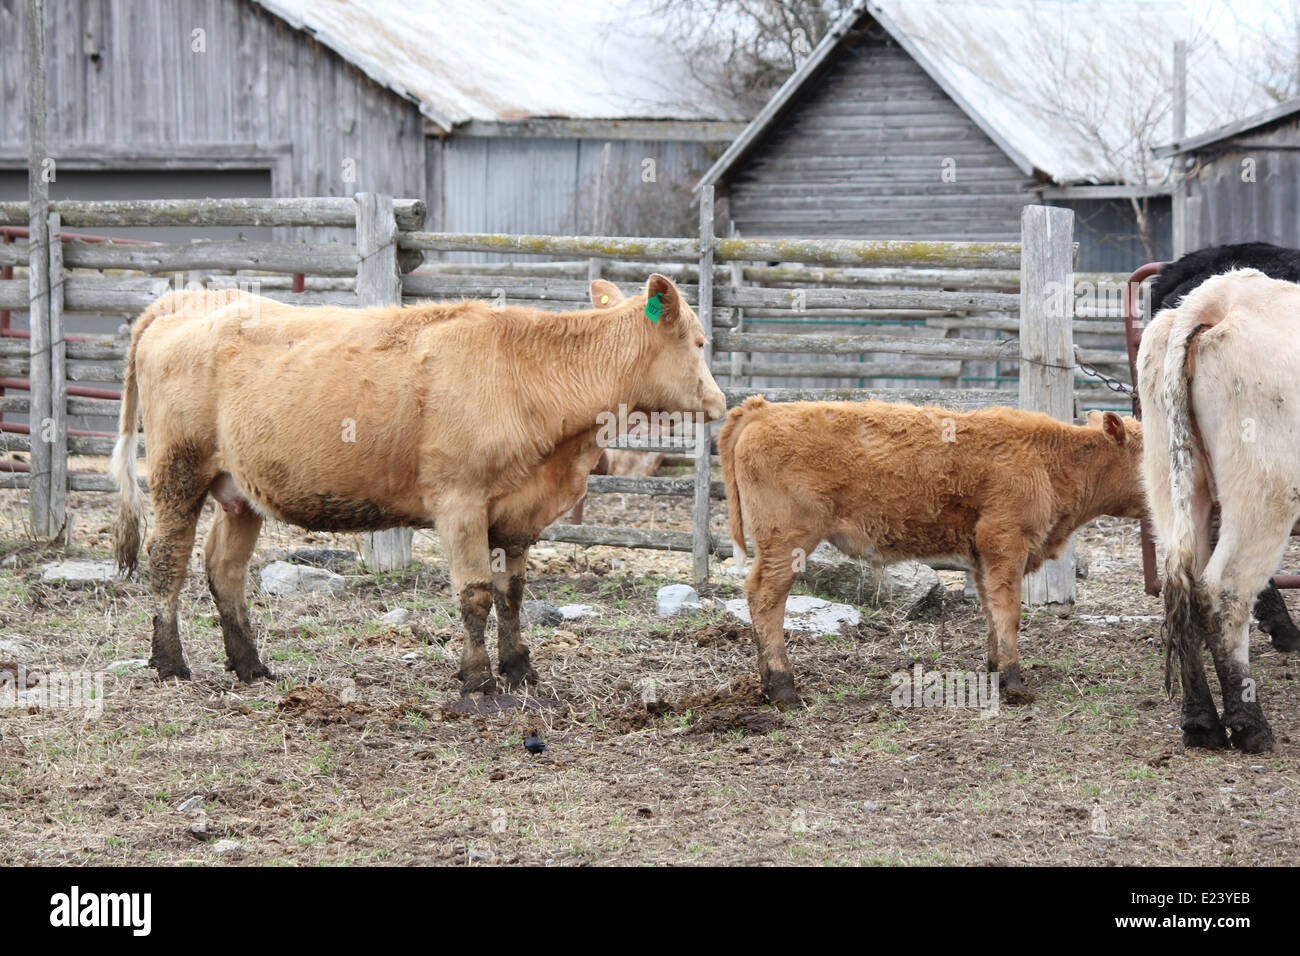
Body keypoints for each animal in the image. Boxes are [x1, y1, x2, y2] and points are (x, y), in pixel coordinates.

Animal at [112, 277, 726, 693]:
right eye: (699, 342)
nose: (721, 402)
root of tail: (187, 300)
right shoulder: (459, 503)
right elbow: (475, 594)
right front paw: (478, 680)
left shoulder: (516, 515)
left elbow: (512, 594)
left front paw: (519, 668)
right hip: (178, 471)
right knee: (167, 559)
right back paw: (169, 661)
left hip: (239, 493)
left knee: (225, 569)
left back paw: (250, 665)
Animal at [720, 397, 1145, 708]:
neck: (1050, 458)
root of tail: (764, 409)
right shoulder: (1005, 541)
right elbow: (1009, 612)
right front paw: (1013, 682)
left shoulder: (981, 557)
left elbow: (991, 613)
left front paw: (995, 670)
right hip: (787, 541)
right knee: (765, 598)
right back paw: (783, 688)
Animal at [1137, 267, 1300, 753]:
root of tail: (1219, 295)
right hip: (1264, 491)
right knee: (1223, 592)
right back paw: (1249, 725)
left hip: (1170, 483)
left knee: (1184, 587)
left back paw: (1201, 722)